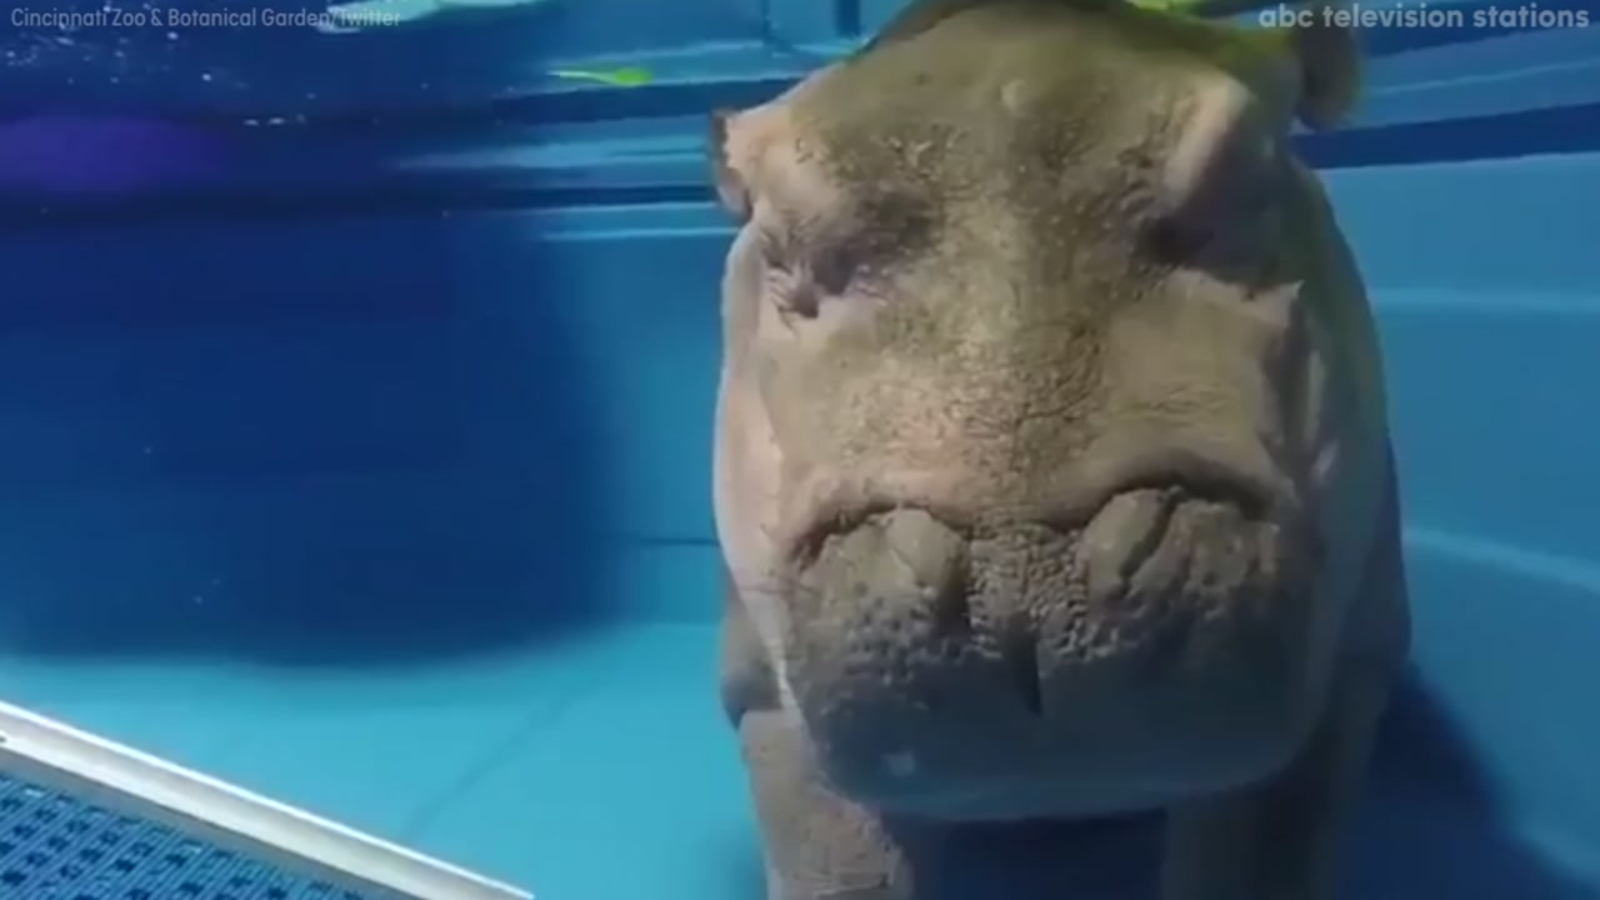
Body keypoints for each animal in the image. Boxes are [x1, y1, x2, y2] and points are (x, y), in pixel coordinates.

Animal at [707, 1, 1410, 897]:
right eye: (776, 241)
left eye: (1252, 178)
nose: (1022, 586)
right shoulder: (764, 700)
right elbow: (843, 866)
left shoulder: (1350, 670)